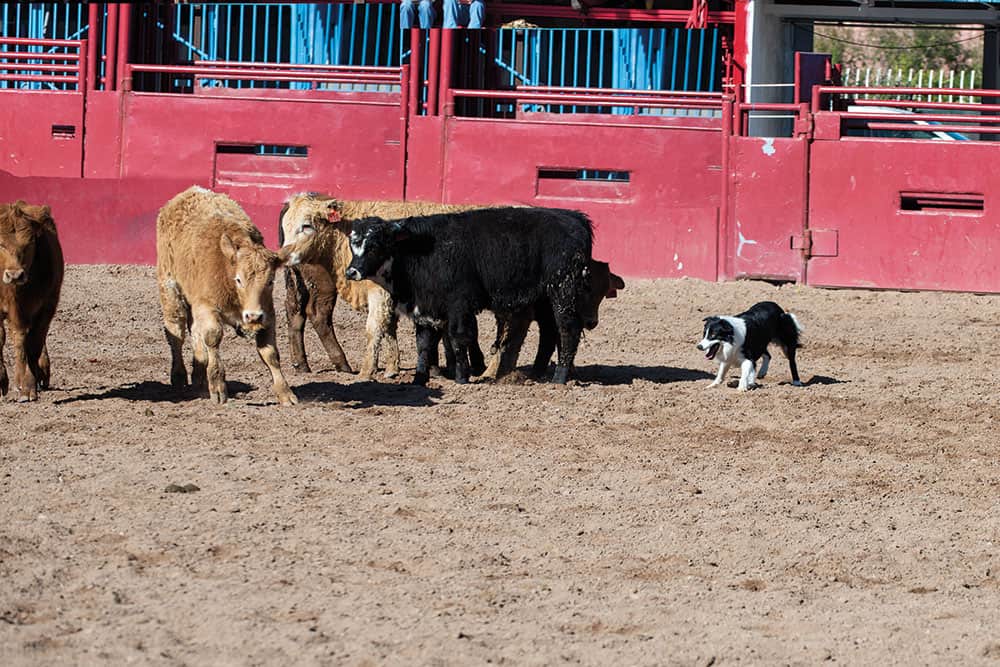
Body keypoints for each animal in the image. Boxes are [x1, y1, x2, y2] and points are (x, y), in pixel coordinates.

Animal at [0, 201, 64, 402]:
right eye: (1, 244)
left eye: (29, 244)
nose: (15, 275)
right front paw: (2, 381)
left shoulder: (47, 306)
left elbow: (33, 343)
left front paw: (28, 386)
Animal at [156, 186, 307, 405]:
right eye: (238, 280)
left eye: (271, 280)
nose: (252, 316)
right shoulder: (207, 307)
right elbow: (212, 337)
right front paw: (218, 387)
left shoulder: (267, 313)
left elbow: (270, 353)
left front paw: (285, 393)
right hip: (170, 290)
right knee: (177, 335)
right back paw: (179, 377)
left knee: (196, 337)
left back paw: (199, 380)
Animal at [278, 193, 481, 379]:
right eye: (286, 226)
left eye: (306, 225)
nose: (284, 254)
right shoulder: (381, 292)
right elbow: (377, 327)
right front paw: (368, 372)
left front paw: (392, 367)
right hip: (320, 284)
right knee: (318, 315)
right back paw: (341, 364)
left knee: (296, 312)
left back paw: (302, 364)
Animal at [345, 207, 594, 385]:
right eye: (352, 244)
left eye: (374, 246)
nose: (351, 271)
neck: (421, 252)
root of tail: (574, 217)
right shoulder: (425, 309)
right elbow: (423, 345)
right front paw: (419, 379)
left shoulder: (459, 305)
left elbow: (459, 338)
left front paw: (462, 377)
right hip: (543, 298)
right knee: (549, 331)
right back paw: (537, 373)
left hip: (563, 291)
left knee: (568, 329)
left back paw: (559, 377)